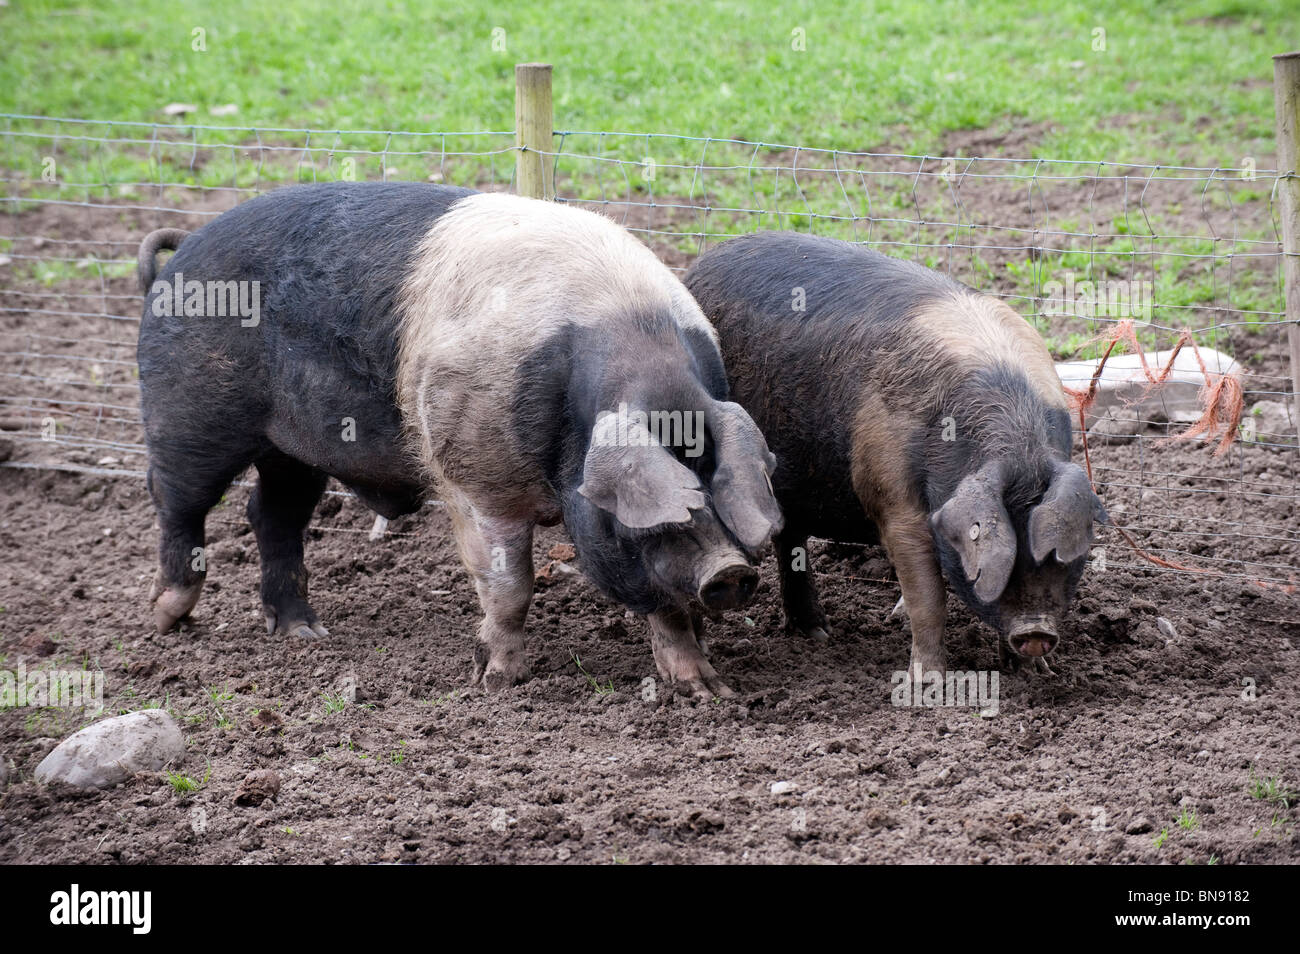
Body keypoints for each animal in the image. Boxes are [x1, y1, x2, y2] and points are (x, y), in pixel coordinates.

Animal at [136, 182, 781, 697]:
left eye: (712, 483)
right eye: (653, 515)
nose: (729, 571)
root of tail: (180, 252)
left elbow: (668, 609)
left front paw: (707, 692)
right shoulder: (474, 476)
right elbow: (510, 585)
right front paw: (497, 682)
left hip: (291, 448)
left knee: (272, 513)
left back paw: (304, 634)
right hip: (187, 411)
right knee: (178, 502)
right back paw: (167, 620)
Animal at [685, 232, 1106, 678]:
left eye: (1063, 557)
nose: (1036, 632)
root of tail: (702, 262)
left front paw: (1034, 674)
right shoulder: (893, 499)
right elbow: (928, 601)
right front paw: (928, 681)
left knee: (790, 536)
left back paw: (818, 634)